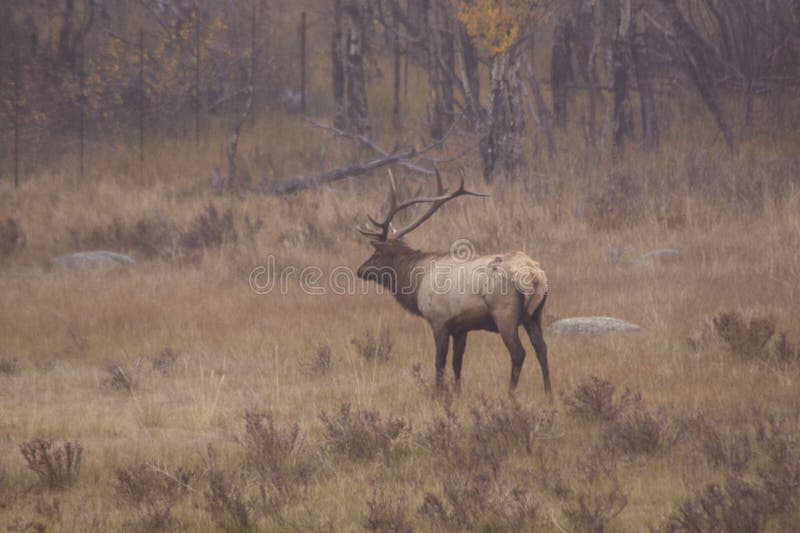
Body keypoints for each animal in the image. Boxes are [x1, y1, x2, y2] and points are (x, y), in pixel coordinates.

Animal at [356, 169, 551, 395]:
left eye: (377, 253)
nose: (360, 270)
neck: (417, 283)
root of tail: (534, 275)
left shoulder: (439, 321)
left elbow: (439, 362)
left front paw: (438, 394)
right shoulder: (461, 328)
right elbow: (457, 363)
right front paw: (457, 393)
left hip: (505, 314)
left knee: (519, 353)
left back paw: (511, 395)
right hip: (534, 314)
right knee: (542, 348)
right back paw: (549, 393)